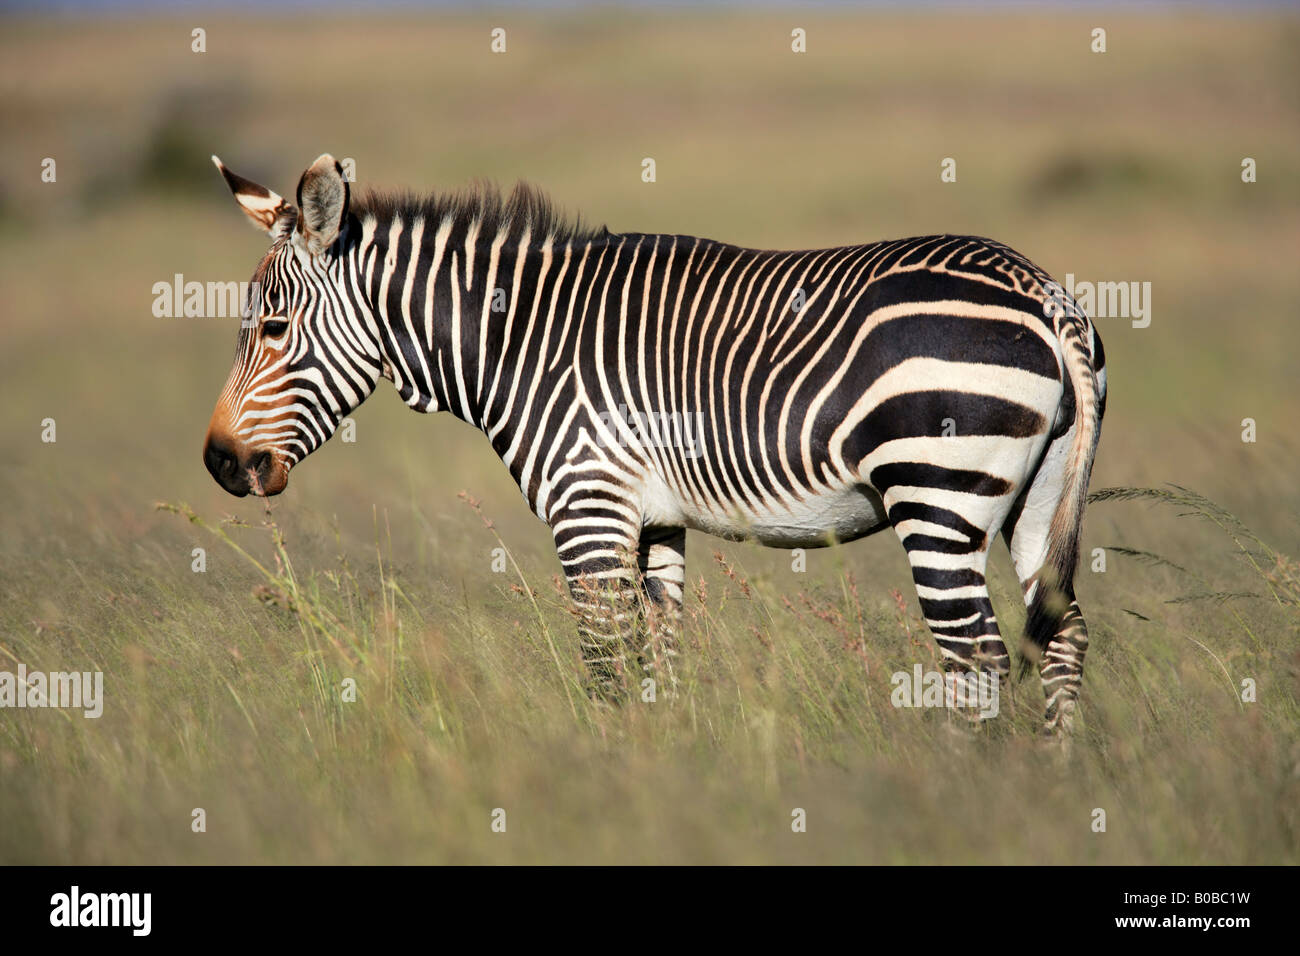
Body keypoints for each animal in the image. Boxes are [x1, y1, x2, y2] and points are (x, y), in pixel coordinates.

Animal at [203, 153, 1106, 735]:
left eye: (274, 328)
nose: (218, 463)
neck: (521, 341)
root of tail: (1043, 291)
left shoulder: (589, 511)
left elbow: (606, 664)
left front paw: (611, 782)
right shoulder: (656, 521)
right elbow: (662, 661)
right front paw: (667, 776)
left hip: (937, 493)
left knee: (978, 658)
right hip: (1032, 501)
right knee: (1061, 638)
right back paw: (1054, 788)